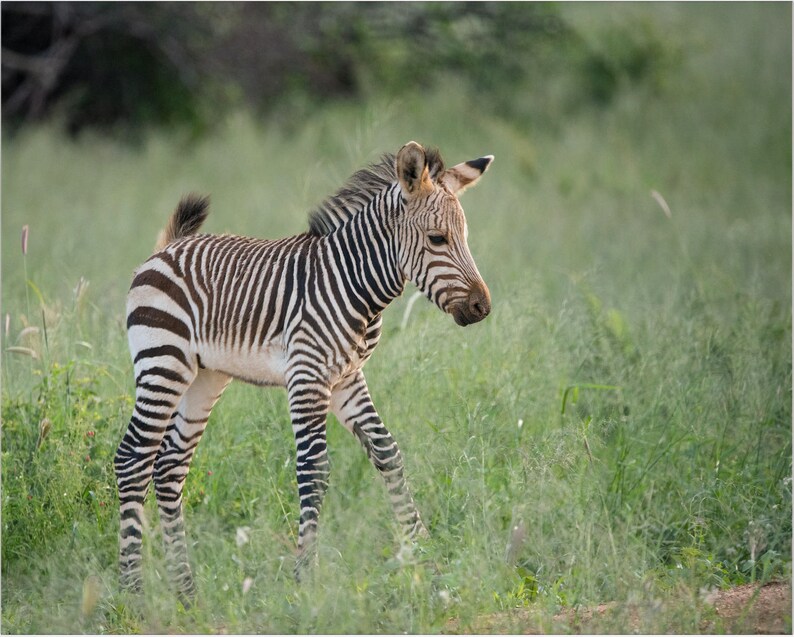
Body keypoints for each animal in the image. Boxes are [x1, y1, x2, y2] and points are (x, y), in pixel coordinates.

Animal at [115, 141, 494, 603]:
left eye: (465, 238)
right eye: (437, 239)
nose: (482, 307)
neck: (355, 283)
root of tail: (167, 249)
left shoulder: (346, 378)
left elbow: (386, 452)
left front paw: (426, 557)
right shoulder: (308, 376)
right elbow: (314, 469)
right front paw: (304, 580)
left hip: (204, 377)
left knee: (169, 466)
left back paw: (186, 591)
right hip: (162, 362)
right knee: (133, 458)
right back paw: (132, 591)